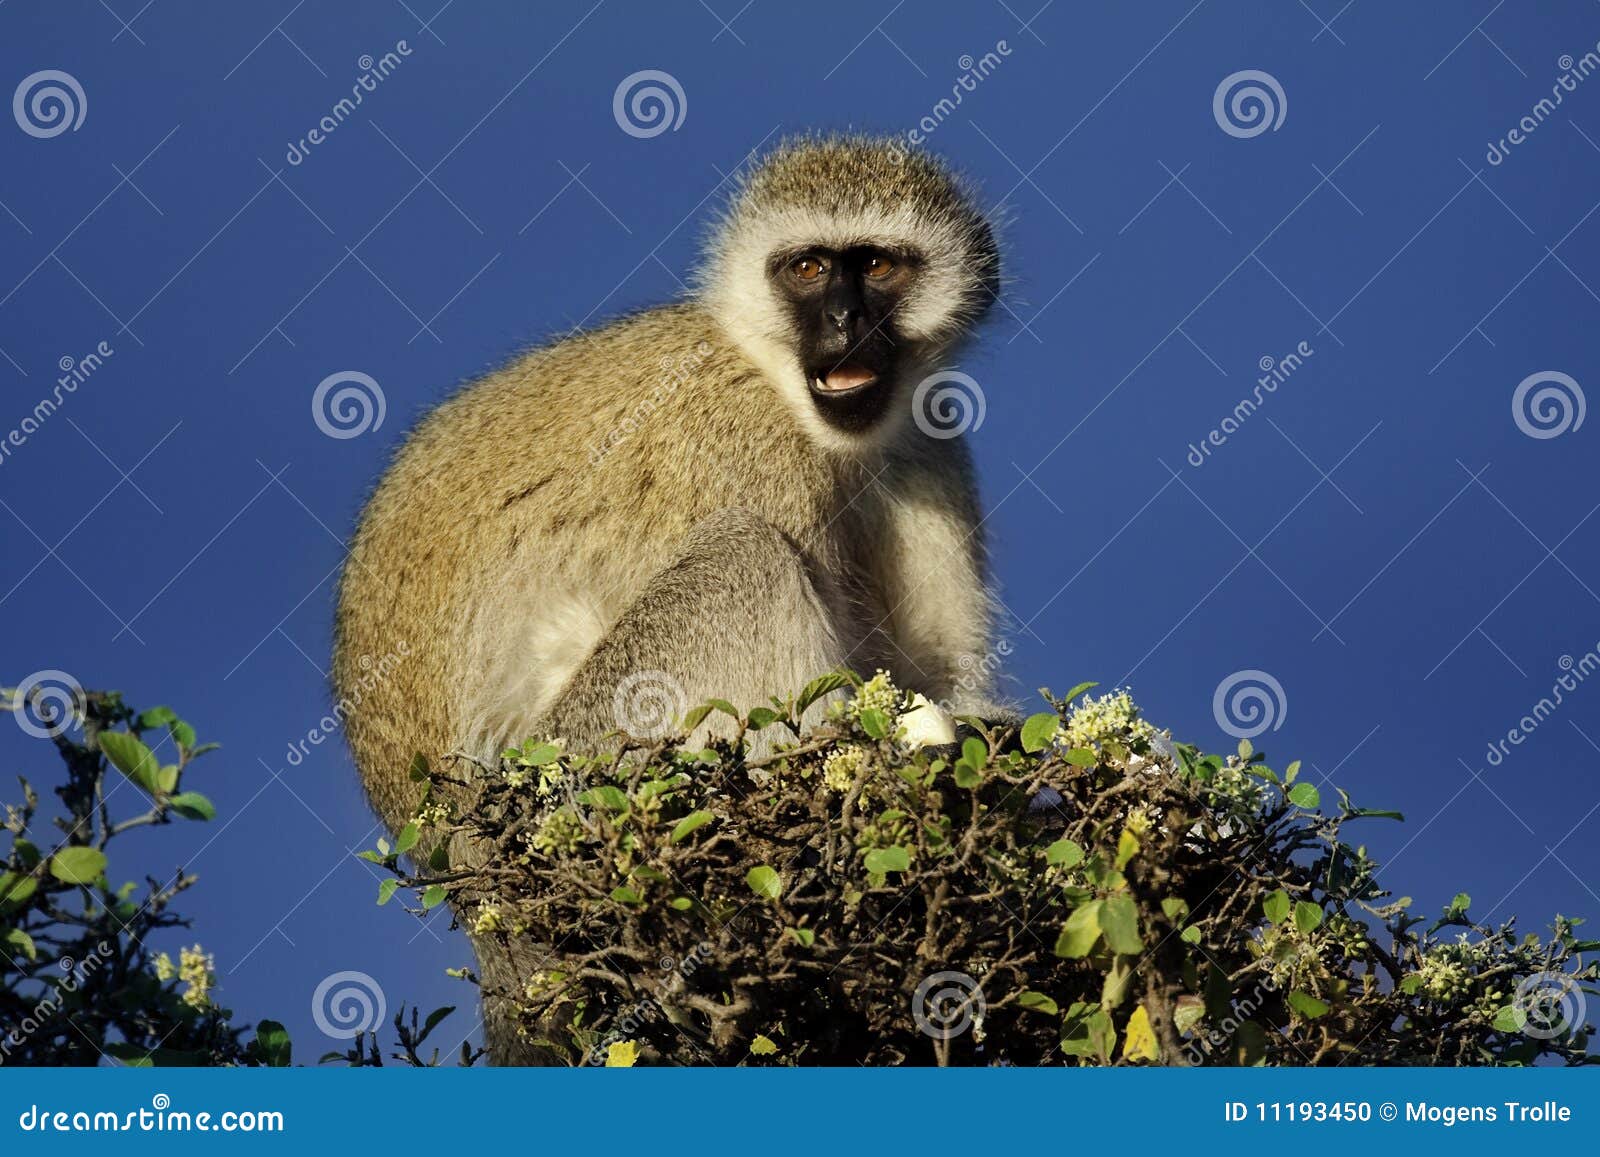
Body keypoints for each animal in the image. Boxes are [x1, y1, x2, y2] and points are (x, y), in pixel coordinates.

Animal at [333, 135, 1004, 1063]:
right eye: (808, 268)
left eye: (876, 265)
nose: (843, 323)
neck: (770, 372)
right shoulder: (747, 441)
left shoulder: (930, 452)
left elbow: (932, 671)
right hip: (572, 778)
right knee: (746, 557)